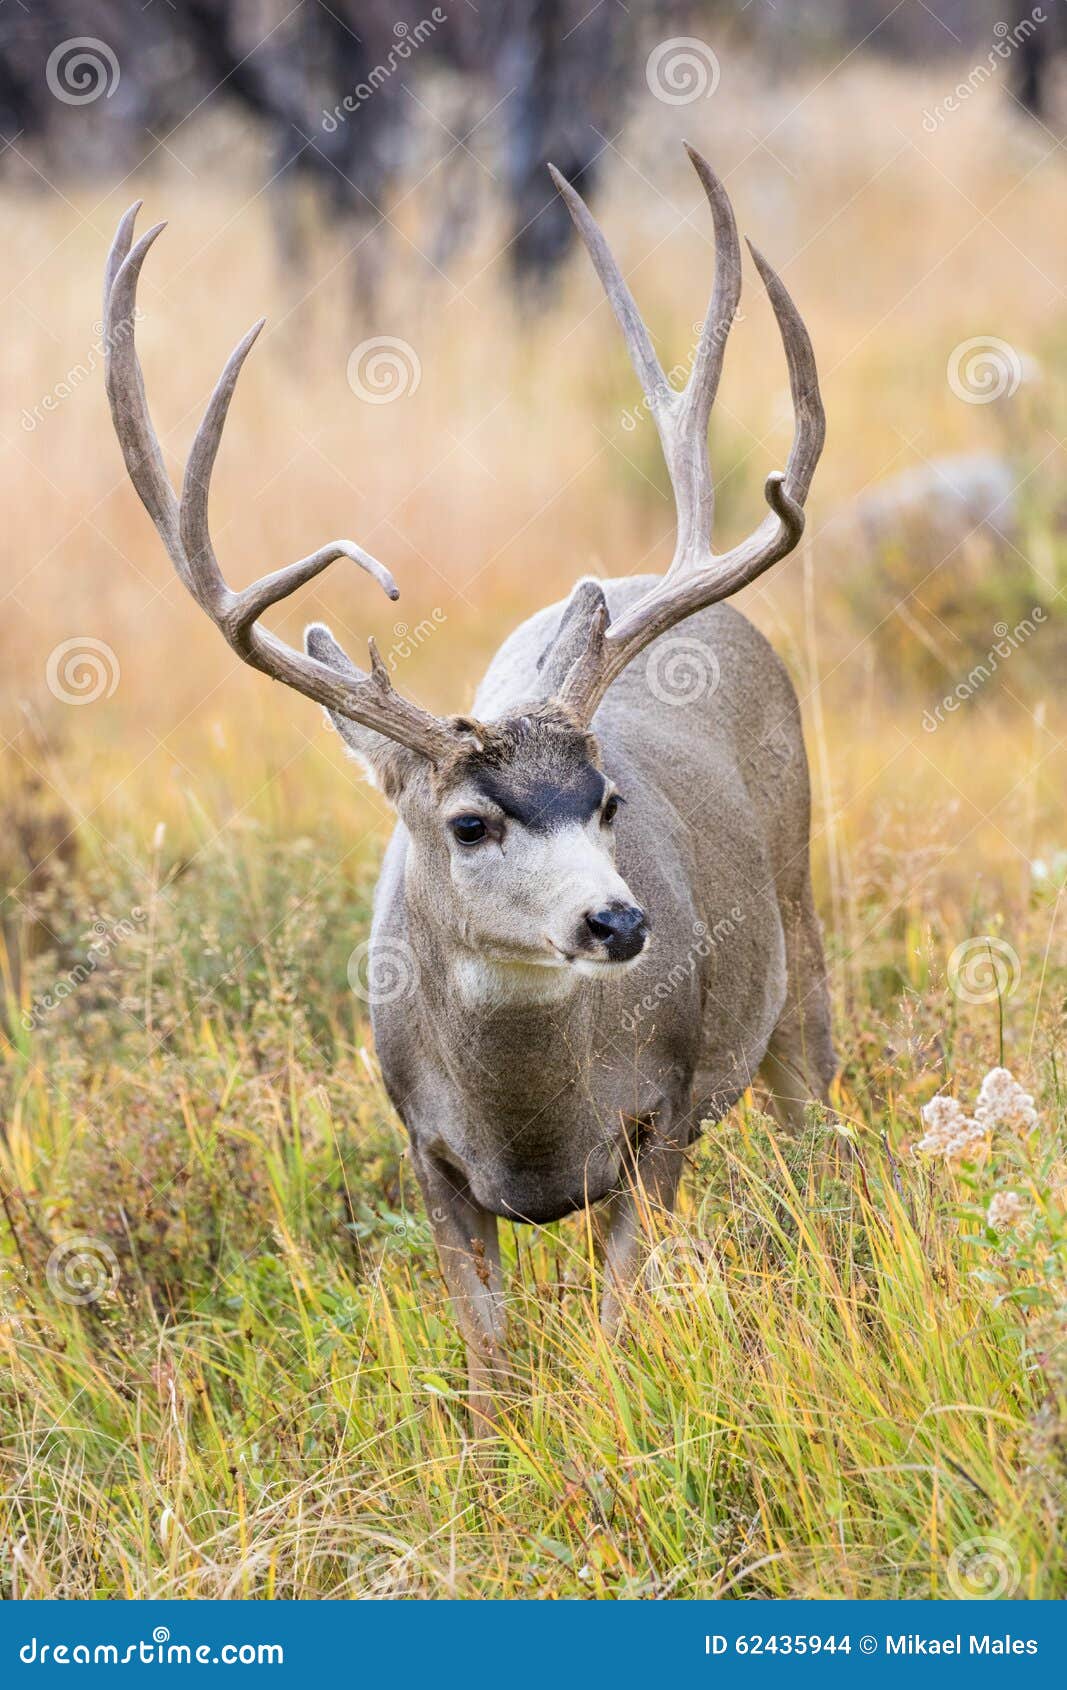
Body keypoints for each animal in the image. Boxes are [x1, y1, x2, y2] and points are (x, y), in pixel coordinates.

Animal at [103, 145, 834, 1424]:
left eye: (606, 800)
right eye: (468, 821)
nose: (617, 919)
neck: (528, 1120)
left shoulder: (658, 1121)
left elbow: (612, 1332)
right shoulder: (422, 1150)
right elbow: (486, 1364)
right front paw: (498, 1458)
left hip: (797, 937)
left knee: (825, 1140)